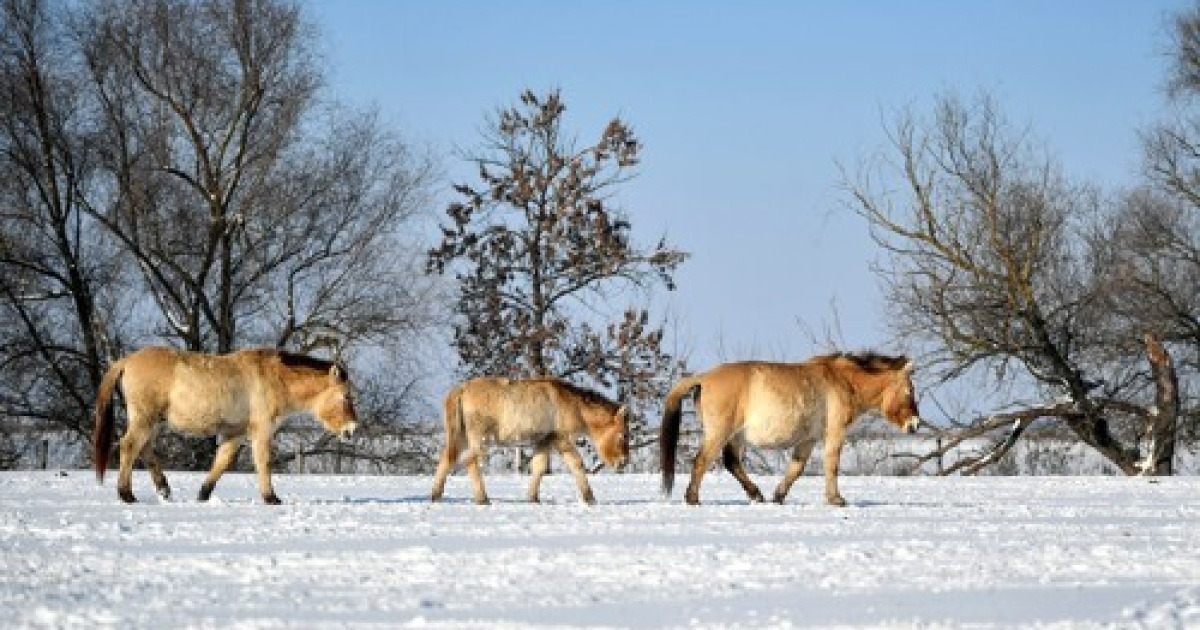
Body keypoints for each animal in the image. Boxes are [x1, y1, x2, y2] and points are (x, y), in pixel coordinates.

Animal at [92, 346, 358, 505]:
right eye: (345, 396)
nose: (352, 429)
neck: (274, 378)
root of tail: (127, 360)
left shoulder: (235, 433)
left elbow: (223, 461)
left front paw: (203, 493)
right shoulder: (262, 431)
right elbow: (263, 462)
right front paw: (271, 497)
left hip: (152, 421)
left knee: (145, 449)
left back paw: (163, 488)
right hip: (144, 419)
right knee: (129, 447)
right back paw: (126, 494)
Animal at [430, 377, 630, 505]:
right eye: (623, 435)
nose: (623, 462)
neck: (574, 405)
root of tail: (461, 389)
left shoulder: (543, 441)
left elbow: (539, 467)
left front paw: (533, 497)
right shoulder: (561, 438)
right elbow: (577, 464)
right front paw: (590, 498)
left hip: (459, 436)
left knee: (447, 459)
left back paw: (435, 495)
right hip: (480, 439)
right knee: (471, 463)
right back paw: (482, 499)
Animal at [660, 352, 923, 507]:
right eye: (909, 391)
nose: (915, 424)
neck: (843, 381)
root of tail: (704, 377)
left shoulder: (808, 440)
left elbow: (796, 469)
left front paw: (779, 496)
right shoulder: (835, 433)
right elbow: (832, 466)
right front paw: (836, 499)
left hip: (735, 436)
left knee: (732, 463)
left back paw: (757, 495)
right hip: (720, 432)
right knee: (702, 461)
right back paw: (693, 499)